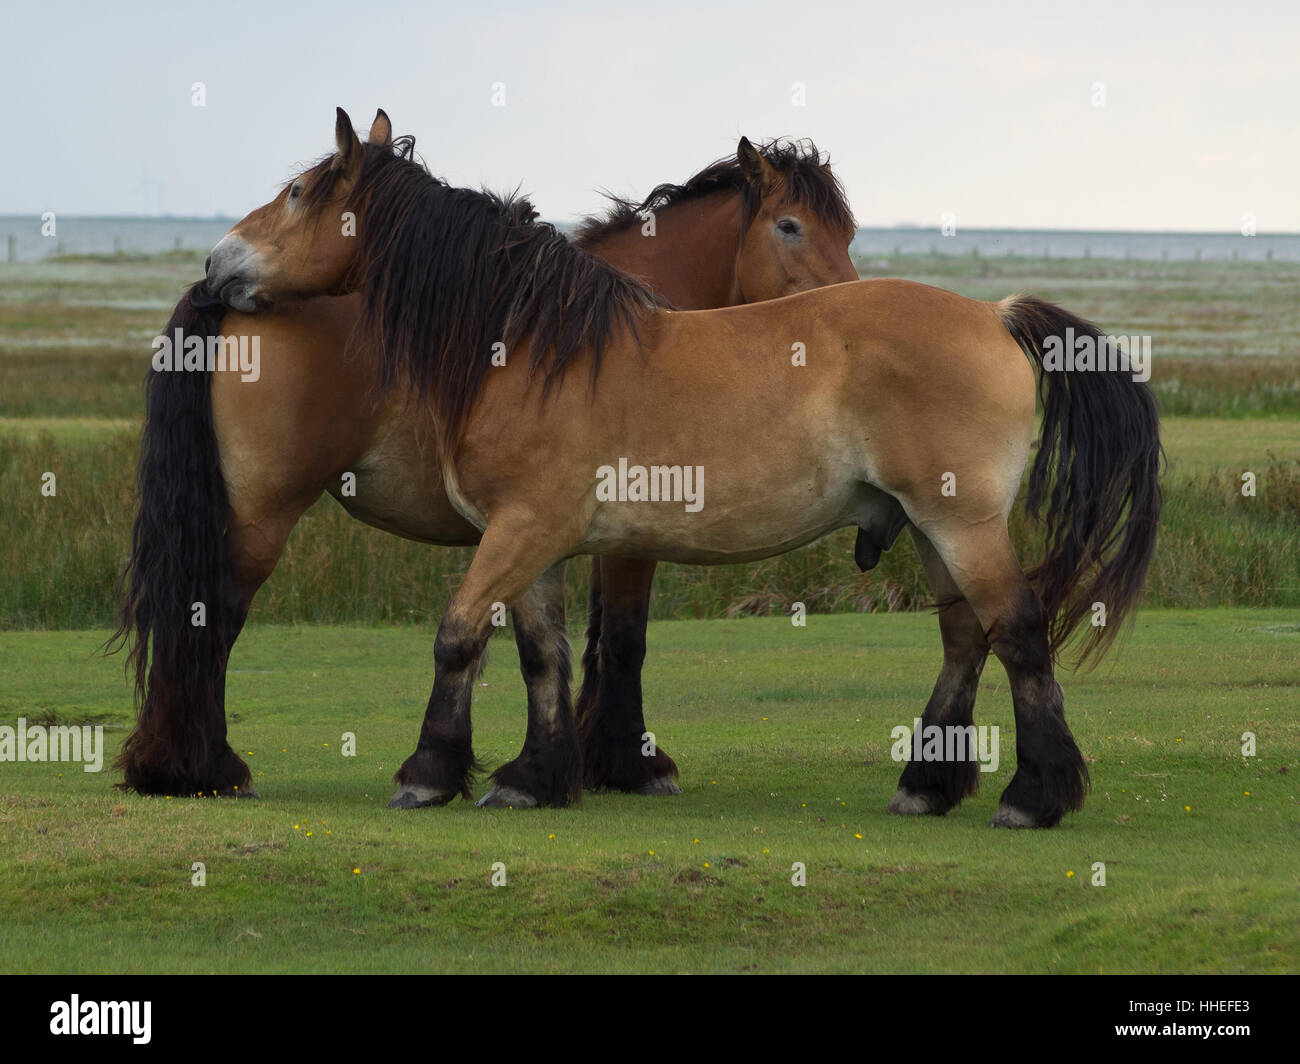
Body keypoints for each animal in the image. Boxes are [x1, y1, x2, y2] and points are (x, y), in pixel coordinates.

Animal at [112, 109, 858, 808]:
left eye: (849, 233)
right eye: (790, 226)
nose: (845, 300)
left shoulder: (546, 529)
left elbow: (546, 645)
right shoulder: (620, 536)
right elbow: (621, 639)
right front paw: (630, 765)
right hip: (261, 514)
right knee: (213, 614)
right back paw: (203, 768)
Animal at [204, 108, 1162, 828]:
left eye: (297, 192)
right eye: (789, 226)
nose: (217, 261)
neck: (531, 343)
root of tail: (994, 316)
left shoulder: (528, 531)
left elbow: (460, 636)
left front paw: (430, 773)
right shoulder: (530, 540)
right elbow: (541, 655)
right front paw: (534, 777)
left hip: (962, 524)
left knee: (1018, 631)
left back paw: (1034, 796)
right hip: (933, 528)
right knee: (967, 637)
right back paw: (927, 786)